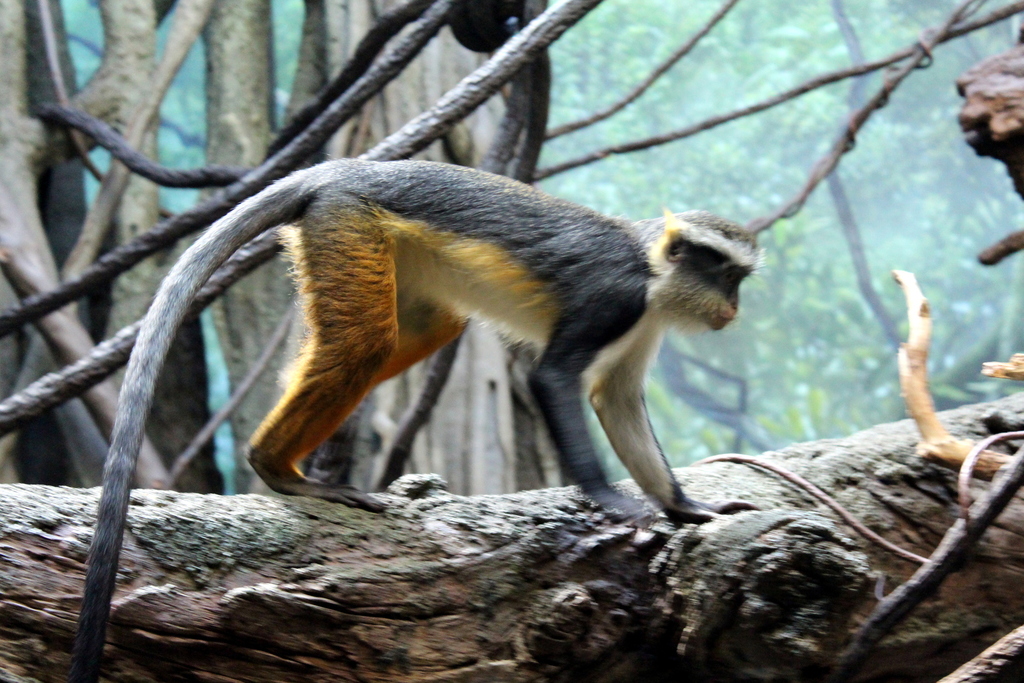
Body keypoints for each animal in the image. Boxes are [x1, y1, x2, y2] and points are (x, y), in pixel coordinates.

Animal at [67, 159, 760, 683]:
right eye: (724, 272)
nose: (733, 308)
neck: (652, 267)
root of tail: (343, 168)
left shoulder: (642, 326)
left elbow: (616, 402)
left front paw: (685, 507)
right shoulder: (615, 299)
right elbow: (553, 379)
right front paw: (607, 500)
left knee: (421, 330)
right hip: (347, 224)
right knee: (363, 345)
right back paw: (279, 469)